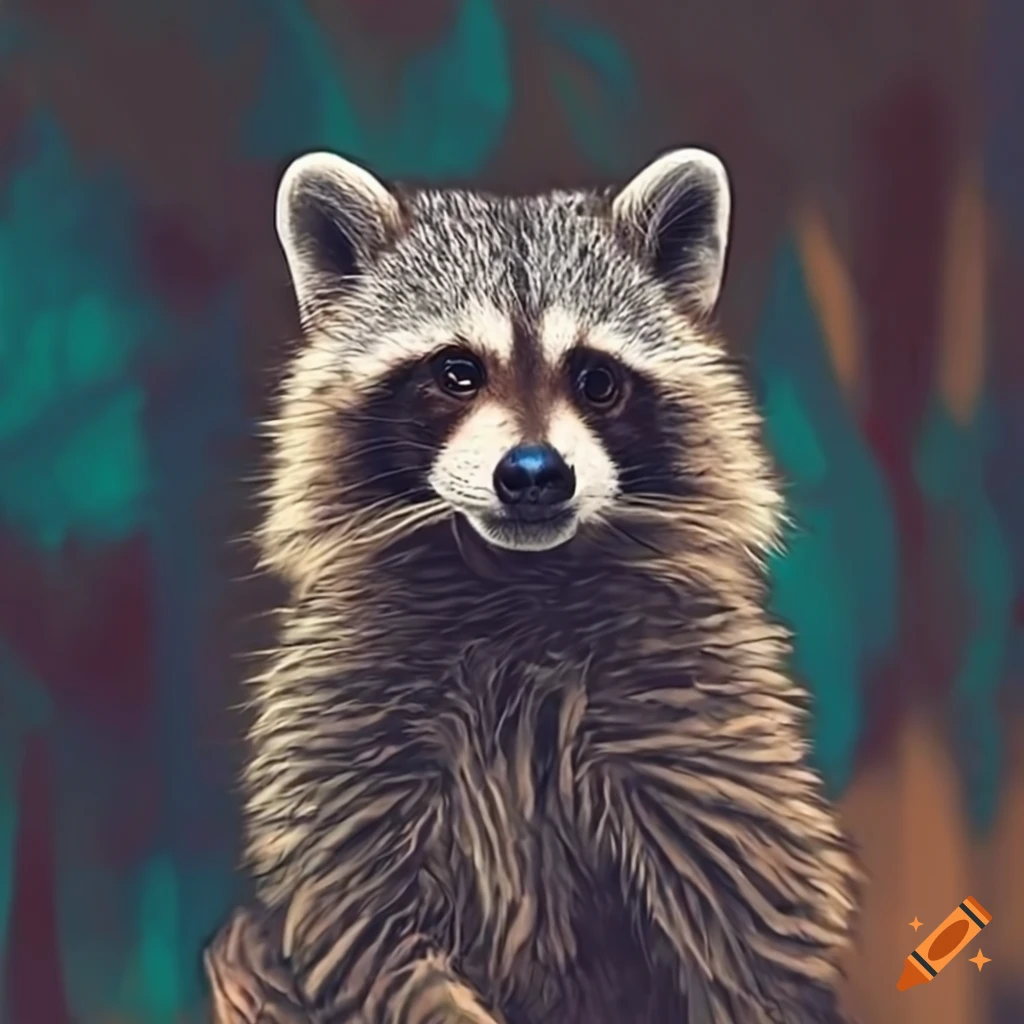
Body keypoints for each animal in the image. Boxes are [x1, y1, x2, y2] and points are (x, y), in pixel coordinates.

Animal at [205, 148, 862, 1024]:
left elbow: (751, 930)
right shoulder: (346, 722)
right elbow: (371, 934)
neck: (513, 577)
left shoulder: (694, 716)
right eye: (456, 371)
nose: (534, 475)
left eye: (596, 379)